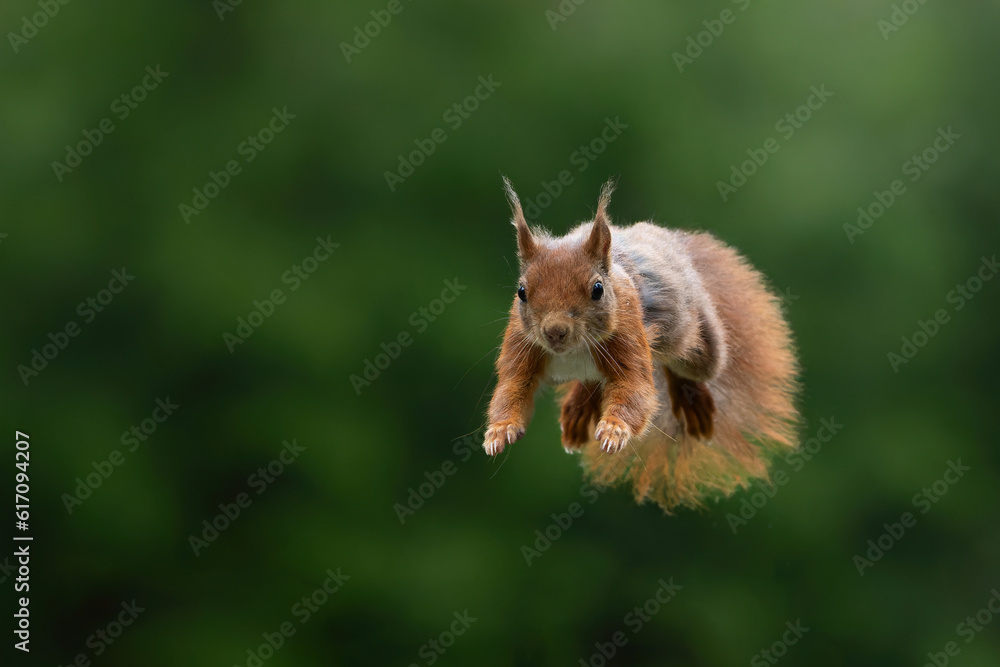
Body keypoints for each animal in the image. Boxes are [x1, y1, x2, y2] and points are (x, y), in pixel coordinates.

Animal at [483, 178, 799, 511]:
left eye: (597, 289)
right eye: (521, 291)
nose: (555, 331)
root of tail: (673, 244)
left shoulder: (628, 330)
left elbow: (635, 387)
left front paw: (614, 429)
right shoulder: (522, 342)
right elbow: (512, 387)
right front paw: (500, 430)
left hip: (700, 345)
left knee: (679, 363)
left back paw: (690, 396)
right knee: (596, 380)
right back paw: (580, 406)